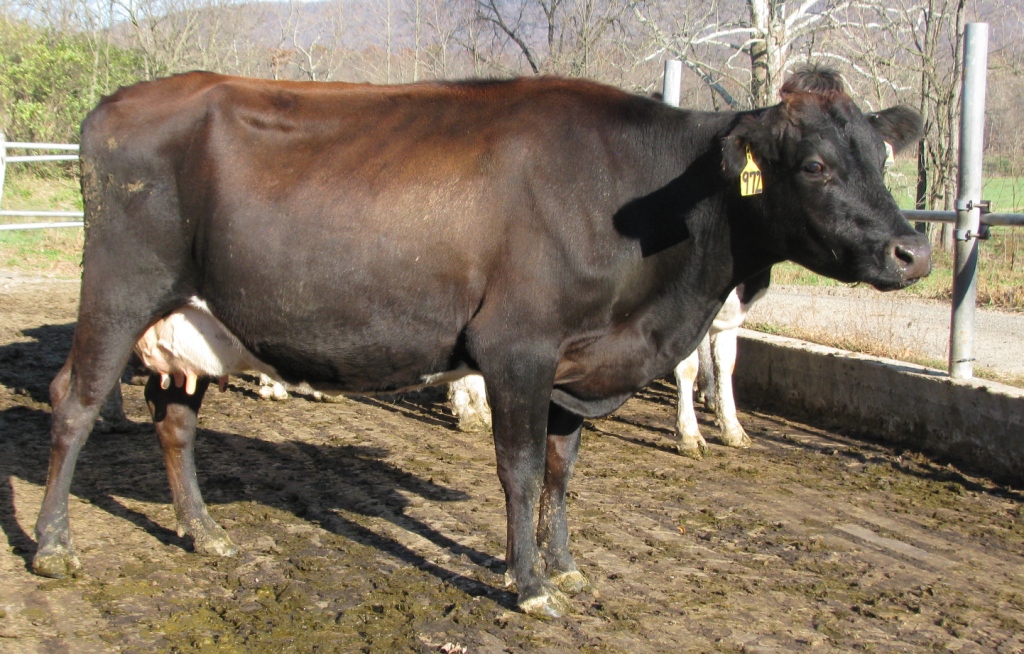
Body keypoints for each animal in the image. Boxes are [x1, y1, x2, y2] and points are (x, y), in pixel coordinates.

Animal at [34, 67, 929, 618]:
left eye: (879, 157)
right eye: (813, 165)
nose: (912, 251)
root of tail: (123, 101)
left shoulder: (577, 362)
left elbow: (564, 473)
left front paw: (564, 564)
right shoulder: (518, 348)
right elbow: (522, 471)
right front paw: (527, 585)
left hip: (192, 317)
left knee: (175, 421)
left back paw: (206, 534)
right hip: (120, 289)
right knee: (74, 400)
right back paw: (52, 549)